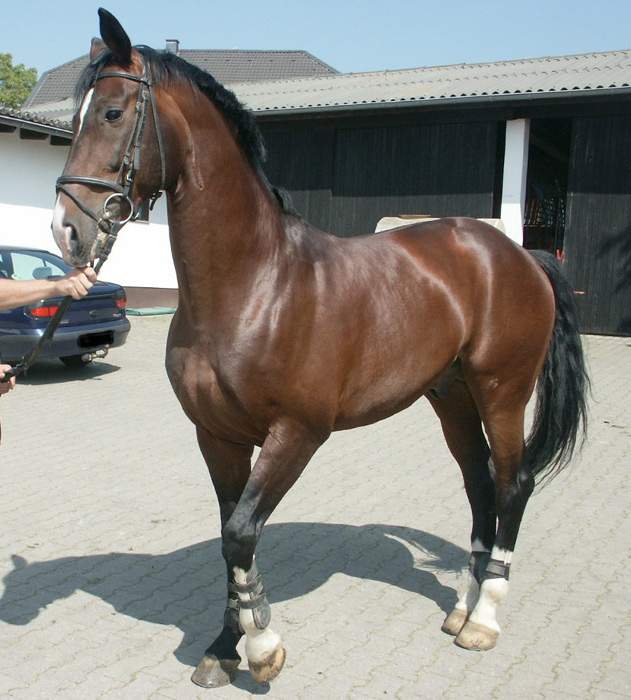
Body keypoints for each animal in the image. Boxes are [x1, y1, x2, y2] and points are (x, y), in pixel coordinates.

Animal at [51, 8, 588, 688]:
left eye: (113, 113)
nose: (67, 230)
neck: (254, 285)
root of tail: (517, 254)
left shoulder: (298, 433)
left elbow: (241, 531)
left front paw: (262, 647)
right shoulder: (216, 434)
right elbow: (230, 534)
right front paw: (225, 645)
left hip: (503, 392)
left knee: (513, 485)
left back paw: (485, 620)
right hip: (452, 397)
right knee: (480, 485)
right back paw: (462, 610)